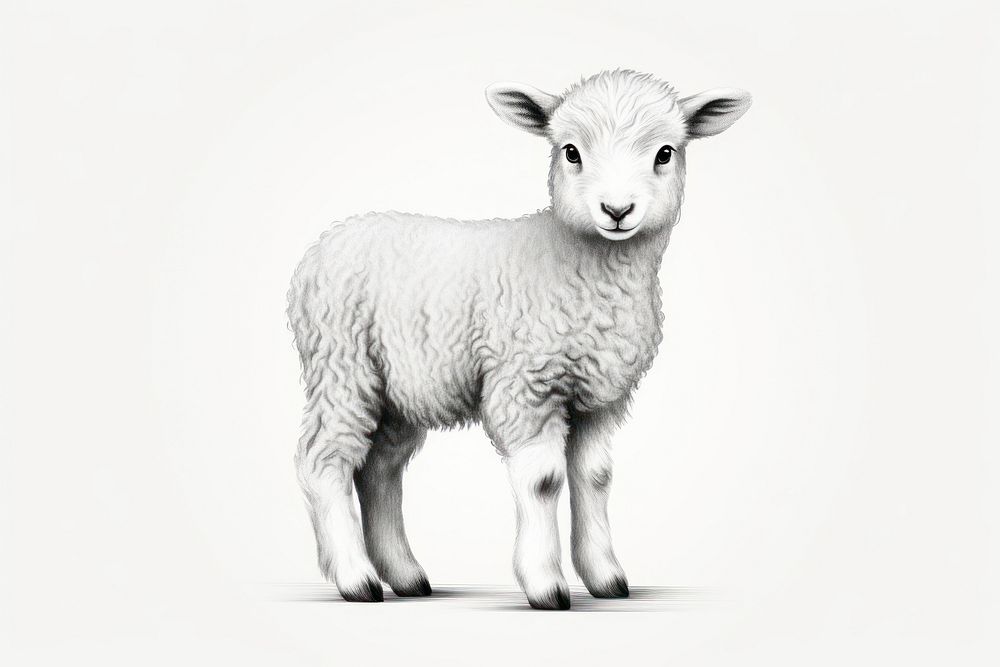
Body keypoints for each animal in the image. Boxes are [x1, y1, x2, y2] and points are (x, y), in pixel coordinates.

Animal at [287, 69, 751, 609]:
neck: (579, 264)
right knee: (324, 459)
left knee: (379, 469)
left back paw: (405, 575)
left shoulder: (599, 397)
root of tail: (324, 244)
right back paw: (355, 578)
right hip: (341, 364)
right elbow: (544, 480)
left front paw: (605, 577)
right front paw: (545, 584)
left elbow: (595, 477)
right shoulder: (525, 384)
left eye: (665, 153)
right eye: (570, 152)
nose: (617, 210)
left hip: (399, 389)